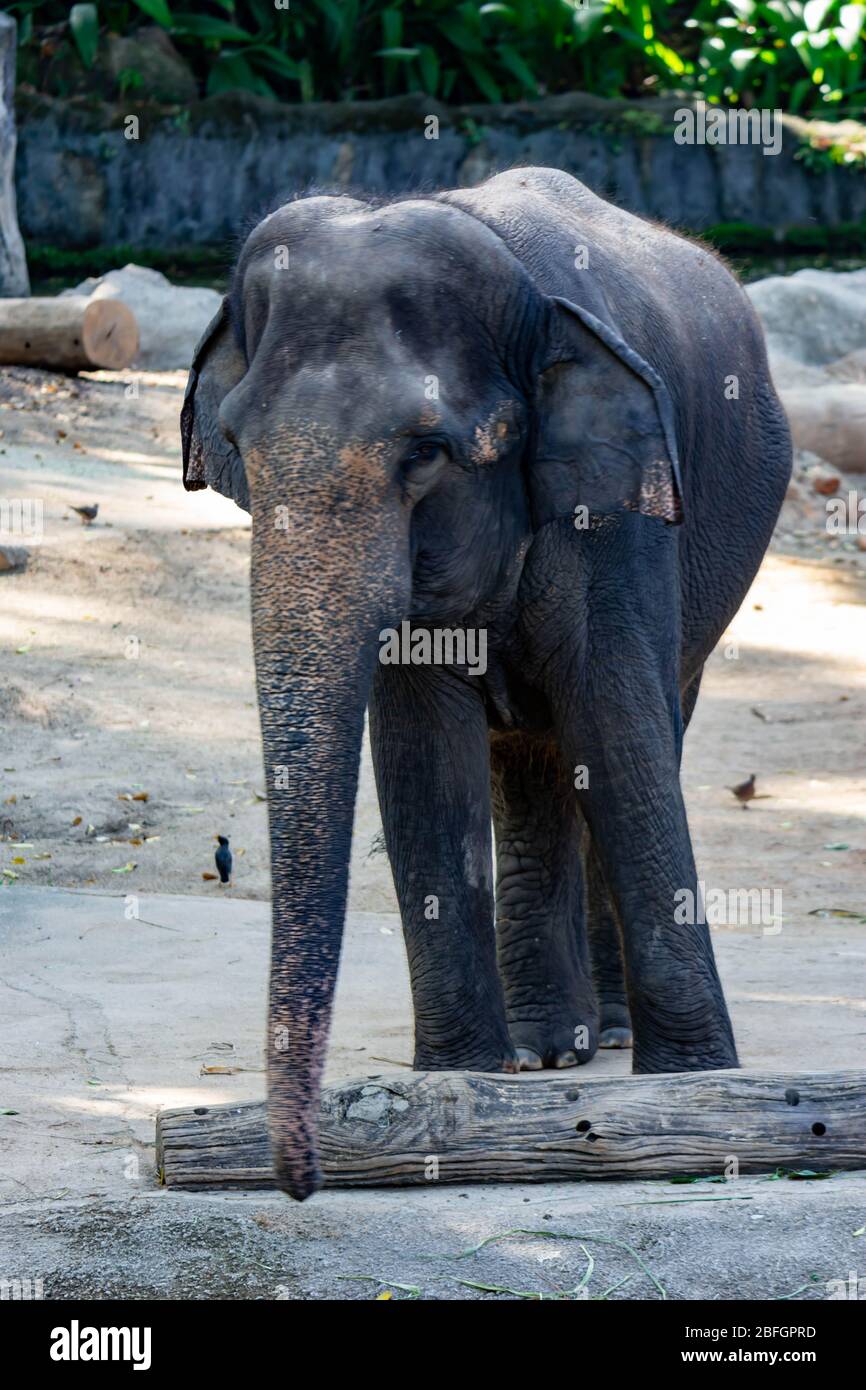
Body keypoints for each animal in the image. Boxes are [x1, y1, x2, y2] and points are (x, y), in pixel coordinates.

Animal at [181, 166, 792, 1200]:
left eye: (425, 452)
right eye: (237, 445)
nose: (300, 1181)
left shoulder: (618, 511)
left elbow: (618, 731)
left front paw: (701, 1092)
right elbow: (426, 755)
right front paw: (457, 1087)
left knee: (639, 732)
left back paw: (606, 1039)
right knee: (534, 762)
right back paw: (548, 1050)